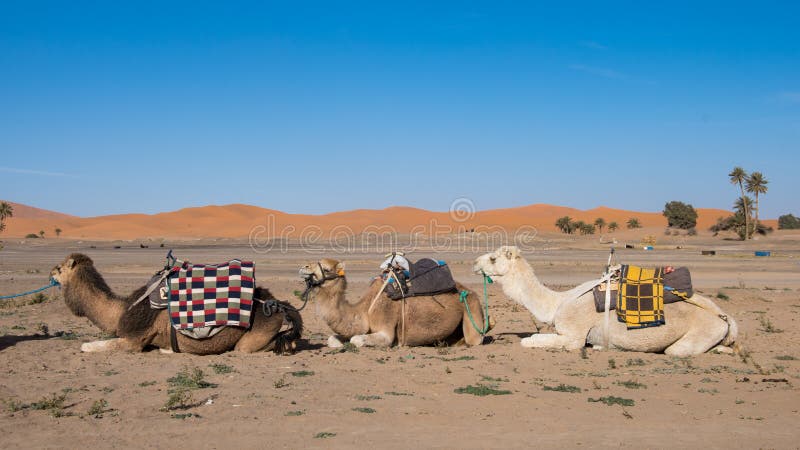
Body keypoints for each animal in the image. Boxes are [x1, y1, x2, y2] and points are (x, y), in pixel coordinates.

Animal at [50, 253, 302, 355]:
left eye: (60, 268)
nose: (51, 271)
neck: (121, 309)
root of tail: (277, 304)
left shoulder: (134, 340)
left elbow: (86, 346)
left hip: (252, 339)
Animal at [298, 258, 490, 348]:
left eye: (326, 269)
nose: (303, 268)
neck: (365, 309)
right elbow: (335, 337)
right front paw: (339, 344)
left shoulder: (386, 327)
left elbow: (356, 339)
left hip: (472, 307)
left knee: (475, 339)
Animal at [473, 246, 738, 356]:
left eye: (494, 258)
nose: (474, 264)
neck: (558, 302)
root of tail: (725, 319)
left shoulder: (574, 335)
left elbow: (529, 340)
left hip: (699, 335)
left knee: (679, 350)